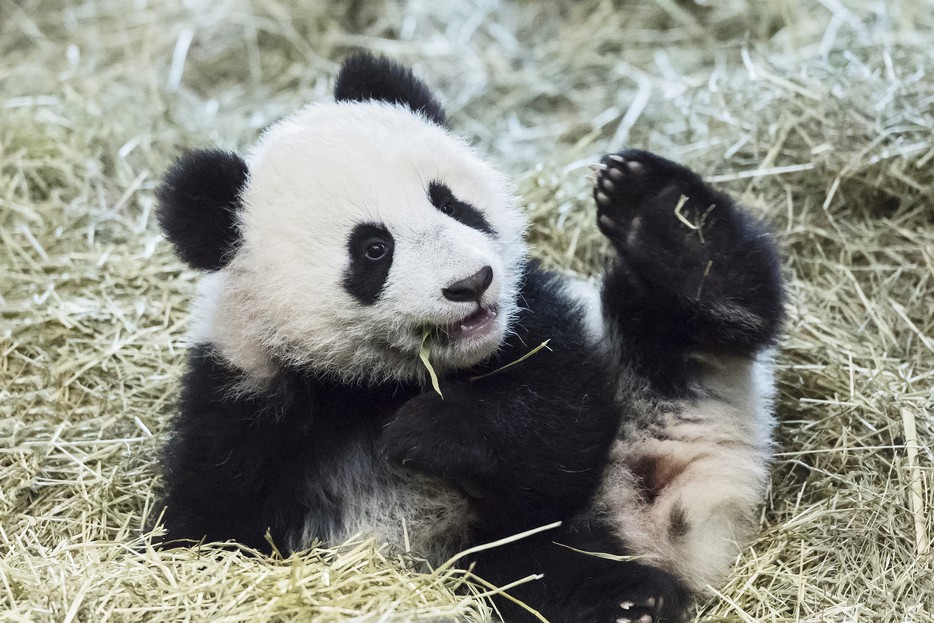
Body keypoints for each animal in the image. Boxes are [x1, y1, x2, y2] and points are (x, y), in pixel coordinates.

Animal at [155, 53, 783, 623]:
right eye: (374, 249)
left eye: (451, 203)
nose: (472, 283)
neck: (372, 384)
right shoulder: (243, 400)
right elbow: (210, 528)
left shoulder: (538, 319)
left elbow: (562, 422)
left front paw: (424, 432)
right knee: (541, 575)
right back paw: (629, 601)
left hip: (637, 386)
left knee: (679, 324)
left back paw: (665, 220)